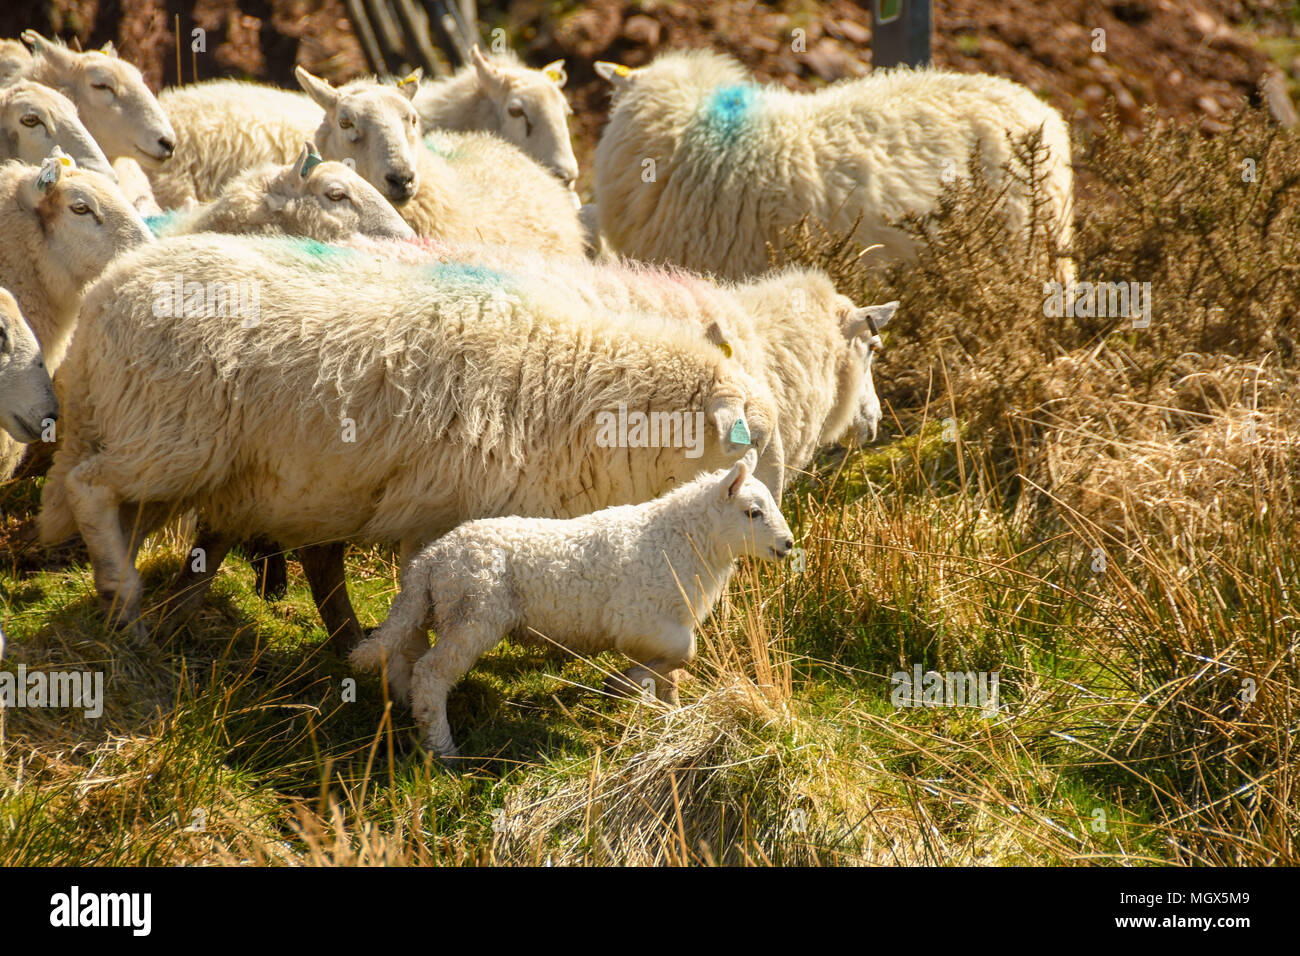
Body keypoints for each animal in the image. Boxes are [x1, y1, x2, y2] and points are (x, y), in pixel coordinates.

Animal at [37, 233, 781, 647]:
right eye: (751, 447)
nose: (785, 542)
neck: (575, 381)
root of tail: (103, 294)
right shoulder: (439, 513)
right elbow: (423, 604)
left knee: (137, 519)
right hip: (173, 437)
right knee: (89, 486)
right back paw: (127, 602)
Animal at [350, 448, 791, 757]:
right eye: (753, 512)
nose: (787, 544)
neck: (684, 540)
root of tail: (433, 557)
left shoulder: (672, 616)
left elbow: (674, 671)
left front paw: (672, 715)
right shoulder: (637, 618)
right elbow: (686, 651)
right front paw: (621, 683)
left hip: (438, 607)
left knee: (404, 655)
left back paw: (408, 717)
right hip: (473, 613)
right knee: (431, 673)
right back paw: (443, 749)